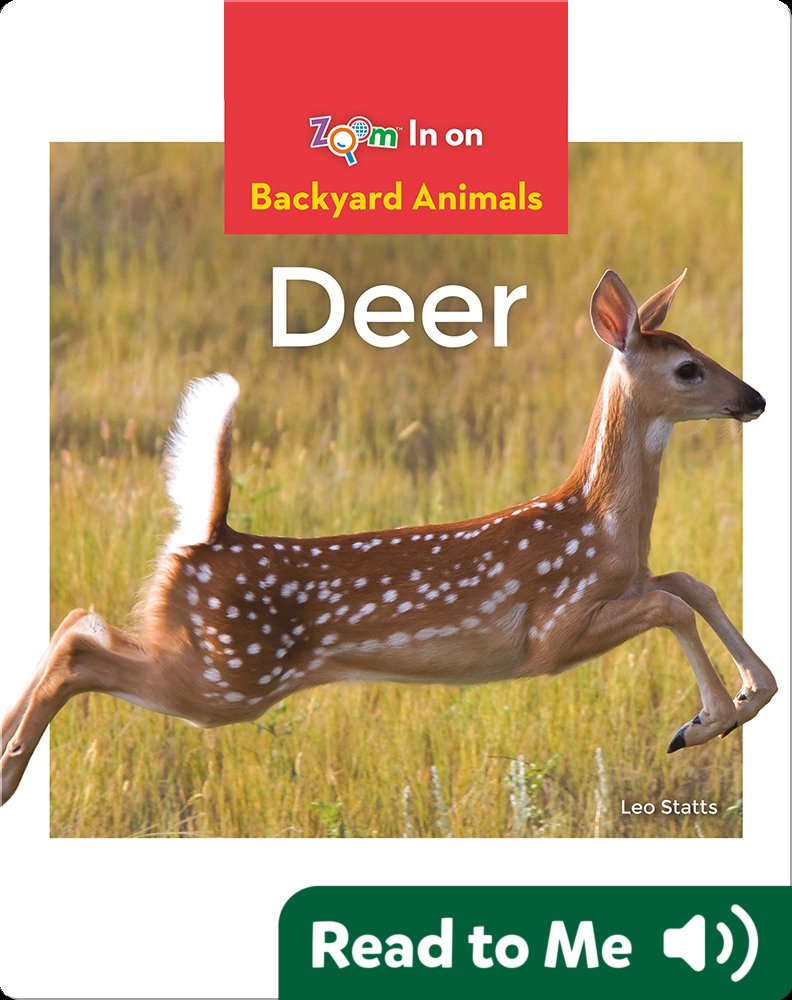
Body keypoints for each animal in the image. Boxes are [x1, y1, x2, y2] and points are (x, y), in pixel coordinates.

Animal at [1, 270, 777, 806]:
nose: (755, 399)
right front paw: (704, 723)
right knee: (79, 649)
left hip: (207, 662)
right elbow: (671, 603)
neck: (601, 523)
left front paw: (749, 697)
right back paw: (9, 774)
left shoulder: (628, 583)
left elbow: (690, 583)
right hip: (227, 677)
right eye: (687, 368)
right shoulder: (553, 633)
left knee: (76, 620)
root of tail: (206, 538)